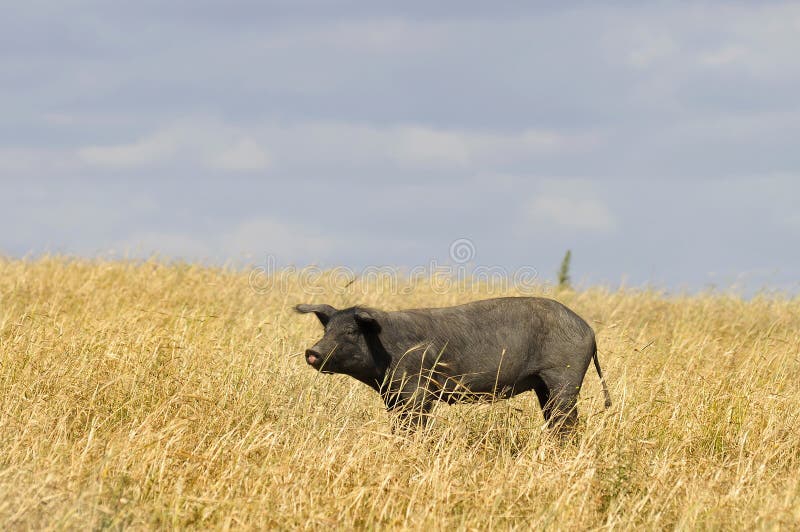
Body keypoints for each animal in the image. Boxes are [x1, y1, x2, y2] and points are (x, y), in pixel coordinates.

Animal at [296, 297, 611, 432]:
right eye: (327, 329)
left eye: (351, 331)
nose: (311, 351)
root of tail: (590, 331)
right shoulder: (392, 395)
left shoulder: (417, 389)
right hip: (543, 385)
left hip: (564, 376)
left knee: (567, 419)